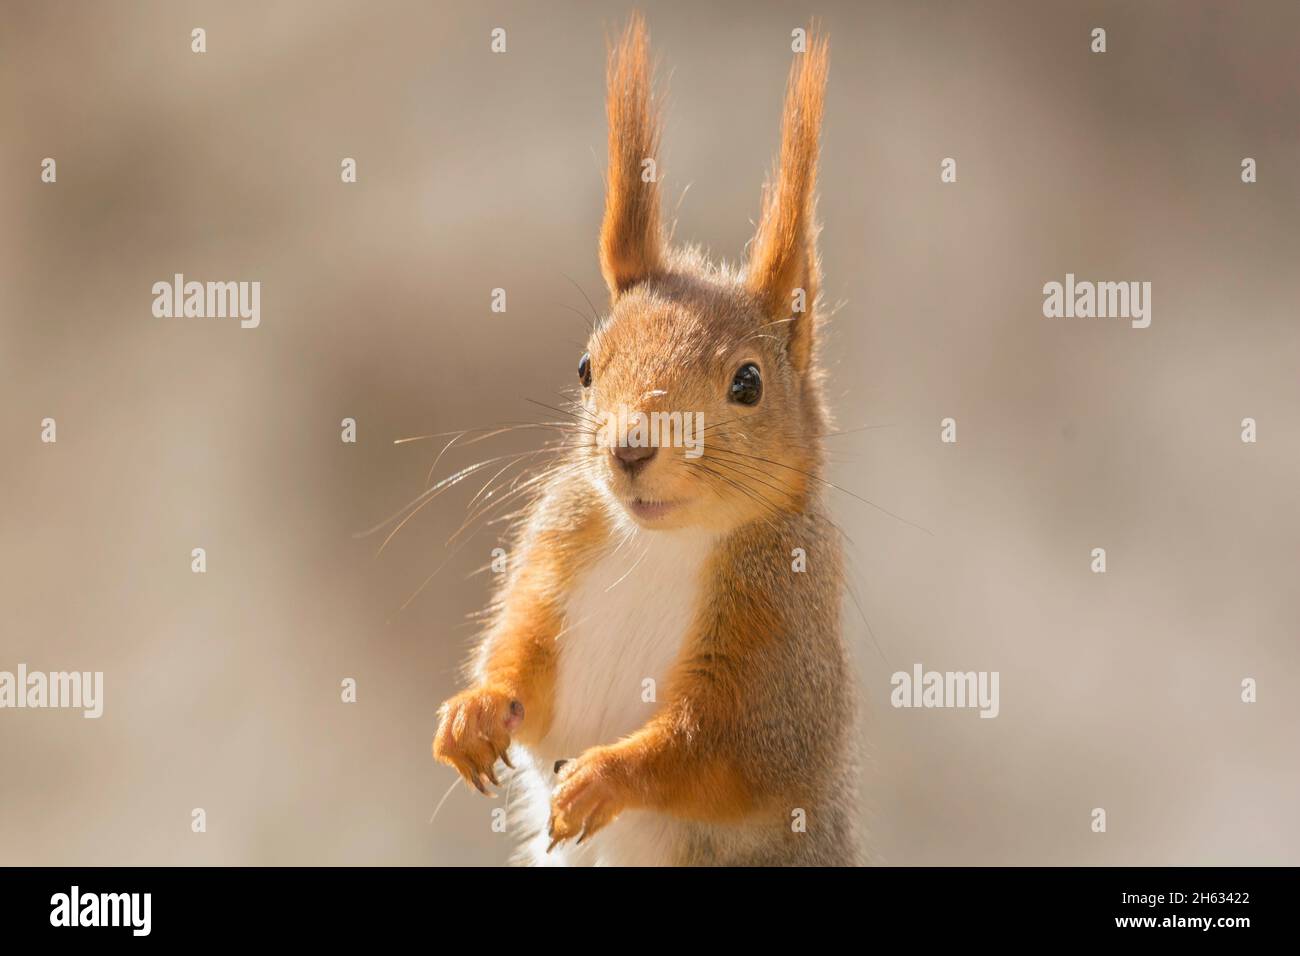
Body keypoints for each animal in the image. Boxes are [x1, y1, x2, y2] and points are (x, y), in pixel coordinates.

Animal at [433, 14, 858, 866]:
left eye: (748, 383)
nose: (629, 450)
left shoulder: (783, 642)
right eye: (585, 367)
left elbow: (715, 752)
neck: (660, 542)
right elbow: (523, 667)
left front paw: (604, 778)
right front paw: (474, 711)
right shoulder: (557, 550)